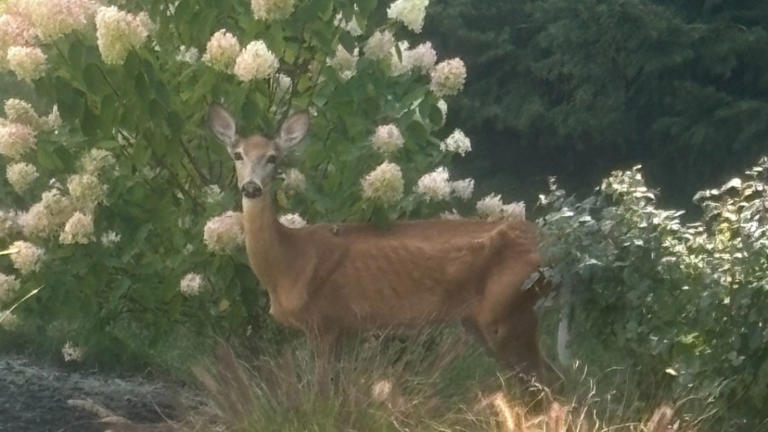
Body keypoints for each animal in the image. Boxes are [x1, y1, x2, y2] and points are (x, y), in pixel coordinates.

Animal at [207, 104, 549, 380]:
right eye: (238, 155)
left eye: (273, 158)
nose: (251, 187)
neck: (288, 264)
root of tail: (541, 245)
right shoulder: (341, 328)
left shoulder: (323, 321)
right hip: (481, 319)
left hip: (507, 309)